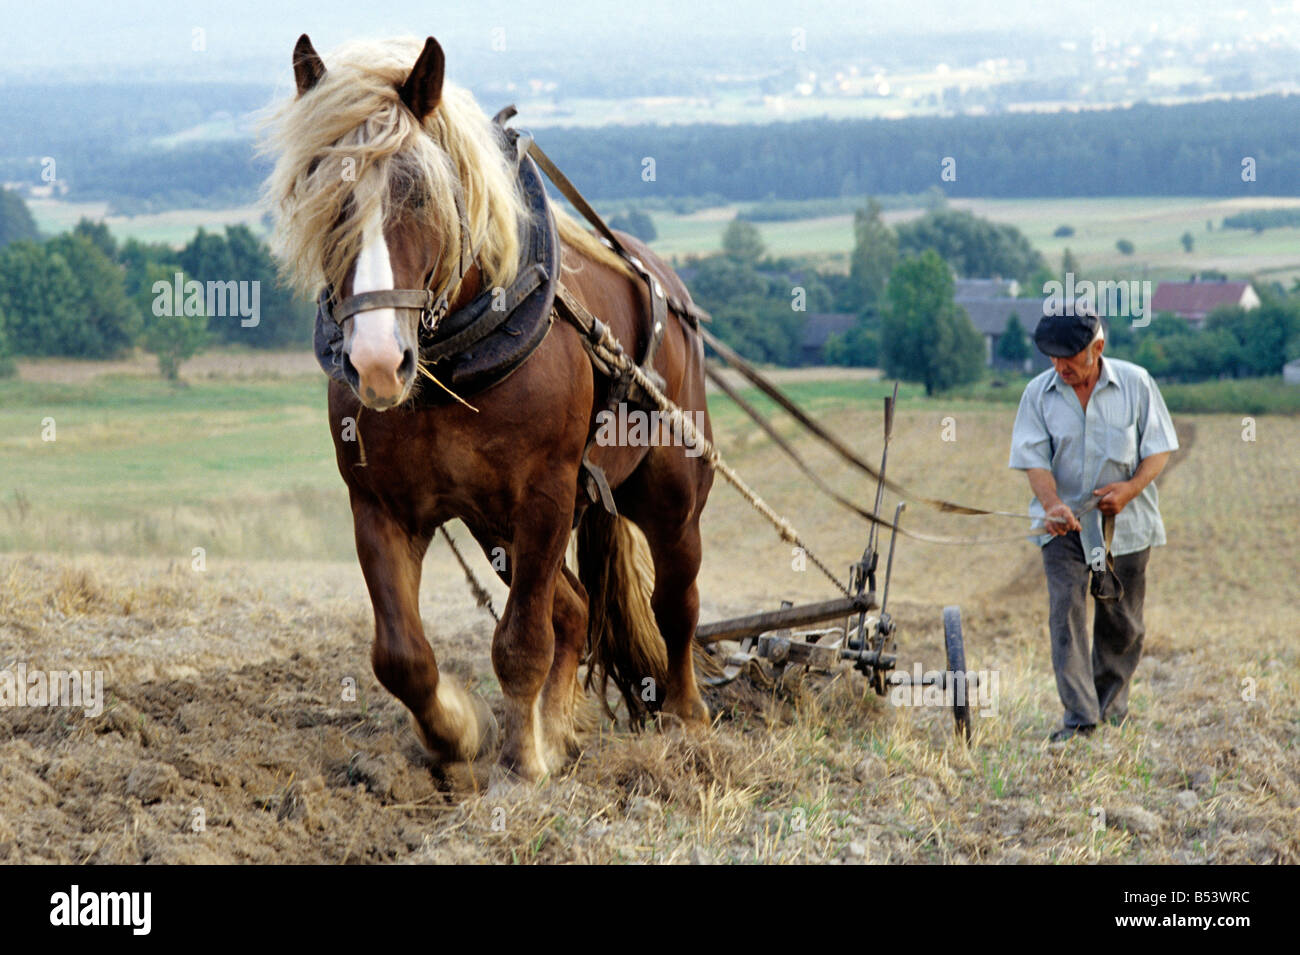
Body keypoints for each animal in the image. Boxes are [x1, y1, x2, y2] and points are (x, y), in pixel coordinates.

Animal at [261, 34, 715, 781]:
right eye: (325, 192)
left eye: (421, 193)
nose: (377, 363)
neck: (452, 358)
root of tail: (664, 282)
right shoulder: (381, 506)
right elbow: (401, 656)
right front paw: (460, 734)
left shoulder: (546, 496)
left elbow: (521, 641)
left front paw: (522, 762)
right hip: (494, 525)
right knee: (576, 607)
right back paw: (560, 730)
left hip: (668, 491)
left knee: (674, 604)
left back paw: (687, 720)